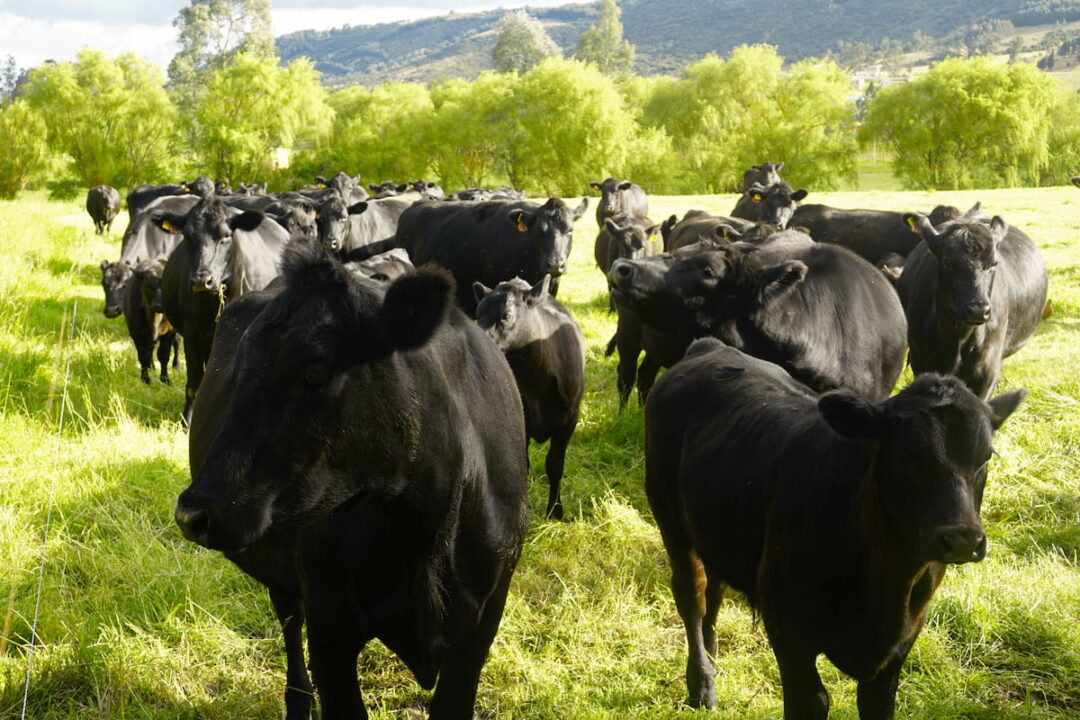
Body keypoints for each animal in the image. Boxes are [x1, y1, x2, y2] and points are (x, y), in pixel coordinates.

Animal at [176, 243, 529, 719]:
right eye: (239, 372)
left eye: (314, 373)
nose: (192, 513)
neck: (426, 529)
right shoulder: (330, 628)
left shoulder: (483, 621)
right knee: (290, 625)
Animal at [474, 275, 585, 520]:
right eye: (477, 314)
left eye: (506, 315)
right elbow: (522, 463)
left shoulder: (569, 419)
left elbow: (554, 464)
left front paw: (555, 510)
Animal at [645, 337, 1025, 717]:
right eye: (905, 456)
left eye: (986, 456)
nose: (962, 539)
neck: (887, 581)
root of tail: (710, 347)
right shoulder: (787, 625)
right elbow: (811, 699)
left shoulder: (901, 644)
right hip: (668, 515)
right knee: (693, 595)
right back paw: (702, 685)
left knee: (716, 589)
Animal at [899, 210, 1048, 399]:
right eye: (948, 262)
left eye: (994, 263)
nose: (978, 310)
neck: (956, 339)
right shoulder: (922, 362)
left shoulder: (985, 372)